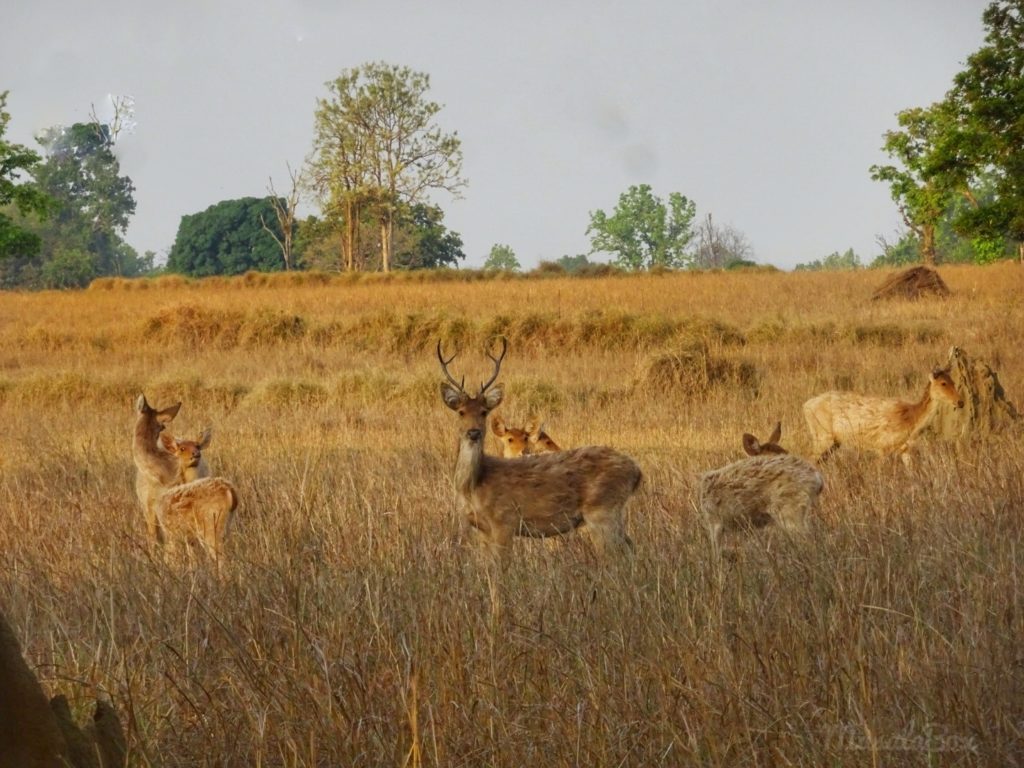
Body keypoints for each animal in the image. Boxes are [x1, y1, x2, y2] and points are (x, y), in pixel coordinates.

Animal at [438, 339, 642, 559]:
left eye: (484, 412)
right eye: (461, 412)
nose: (474, 432)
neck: (473, 486)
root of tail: (636, 472)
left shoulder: (505, 520)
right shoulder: (482, 529)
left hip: (602, 510)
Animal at [802, 368, 964, 466]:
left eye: (953, 381)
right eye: (943, 383)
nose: (960, 402)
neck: (911, 421)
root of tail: (806, 406)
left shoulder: (905, 450)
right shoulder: (882, 445)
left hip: (832, 441)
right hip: (822, 436)